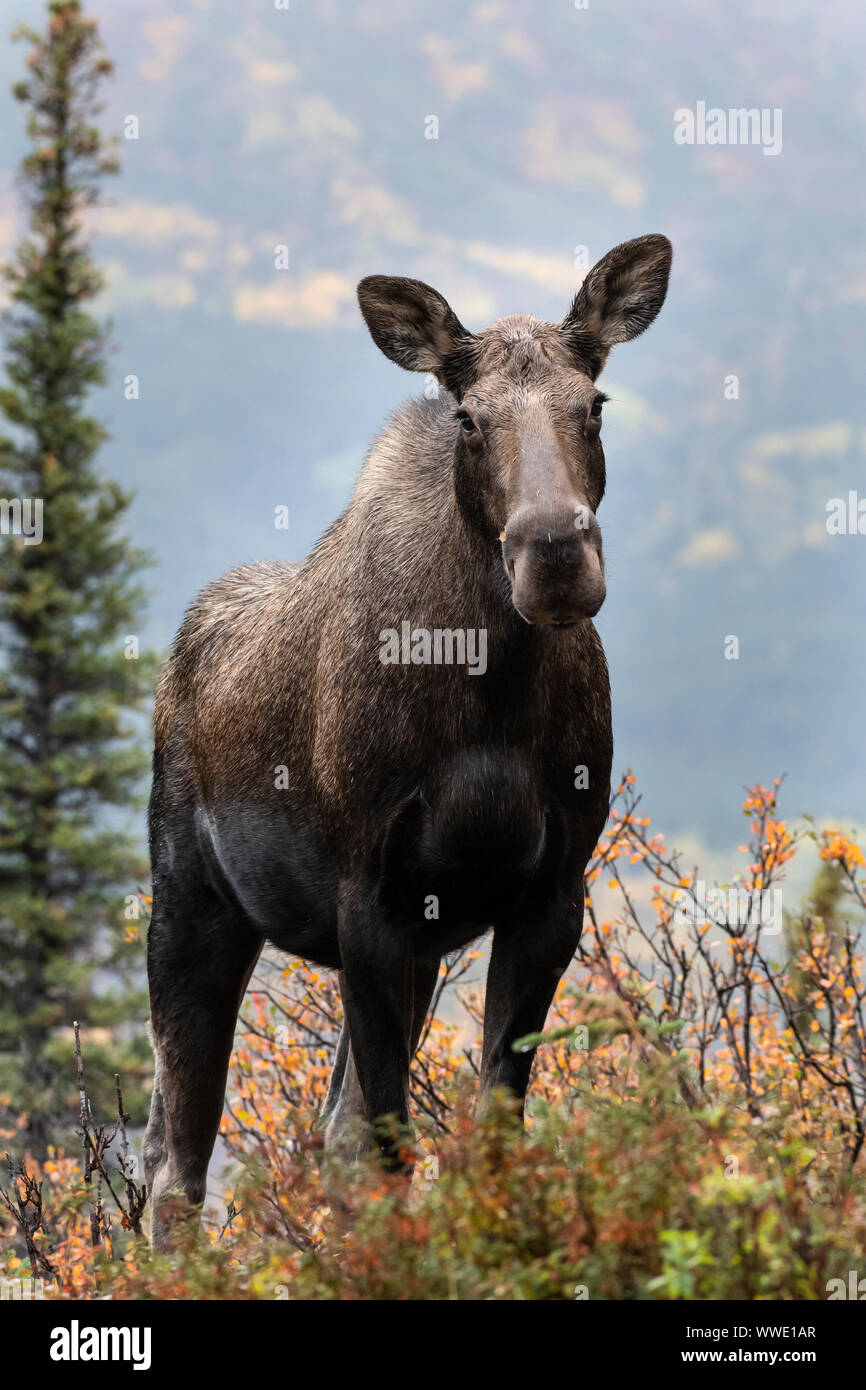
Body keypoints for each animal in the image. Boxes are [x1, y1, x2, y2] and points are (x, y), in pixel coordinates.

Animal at [143, 233, 672, 1249]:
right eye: (468, 417)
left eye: (594, 404)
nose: (555, 555)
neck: (489, 687)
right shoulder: (368, 900)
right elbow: (387, 1149)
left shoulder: (550, 894)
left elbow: (485, 1128)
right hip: (190, 904)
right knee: (174, 1166)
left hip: (413, 948)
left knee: (303, 1134)